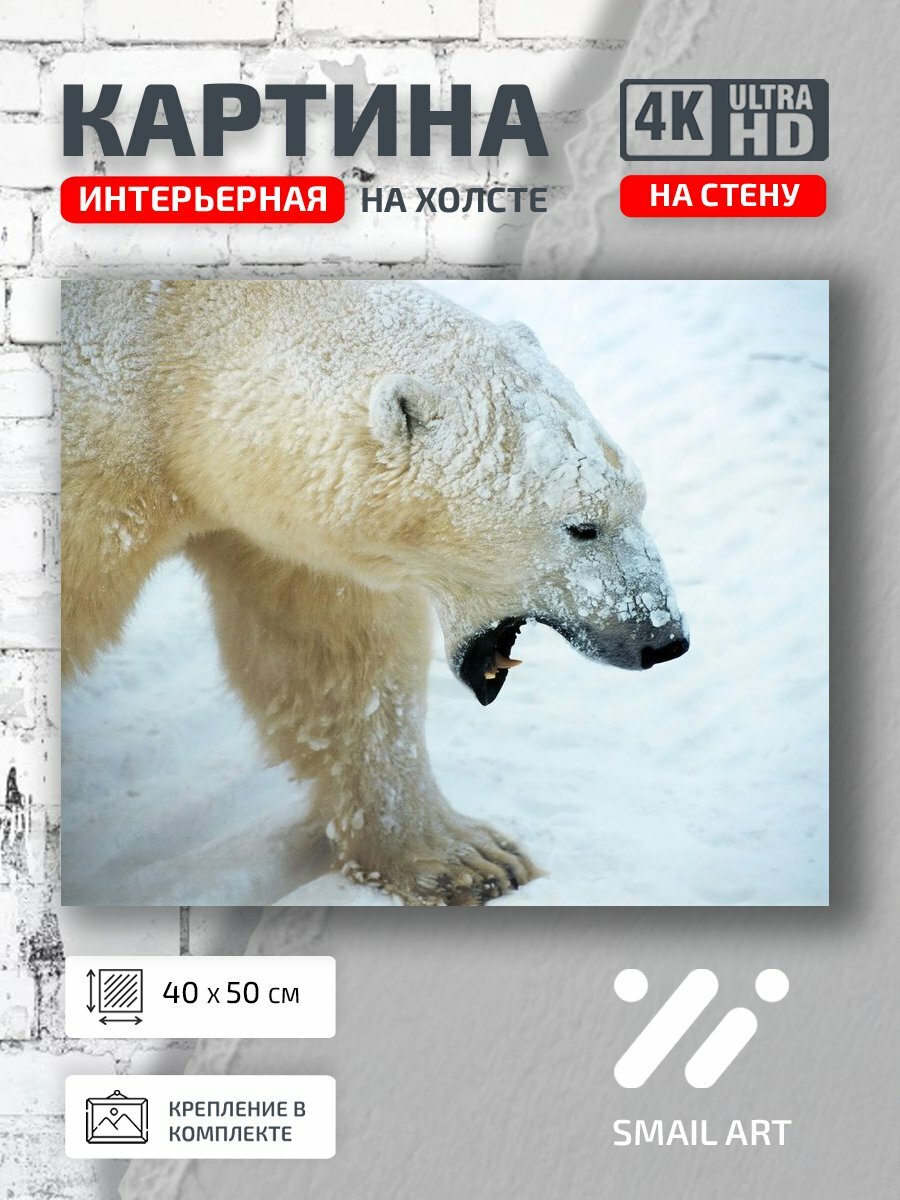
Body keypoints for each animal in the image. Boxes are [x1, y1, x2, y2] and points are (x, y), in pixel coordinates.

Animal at [62, 279, 689, 906]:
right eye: (582, 526)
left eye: (639, 499)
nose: (664, 639)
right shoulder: (91, 483)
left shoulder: (284, 533)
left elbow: (332, 654)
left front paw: (470, 860)